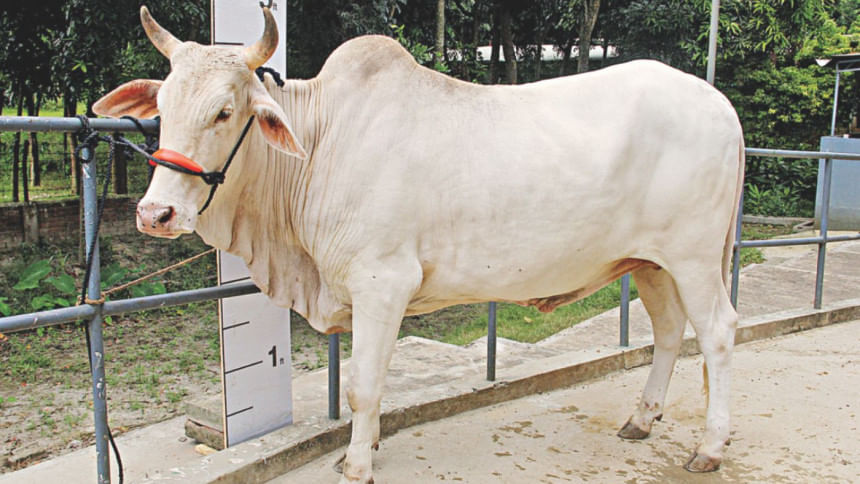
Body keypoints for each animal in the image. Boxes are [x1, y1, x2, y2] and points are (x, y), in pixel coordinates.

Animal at [94, 6, 745, 483]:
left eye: (225, 112)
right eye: (162, 108)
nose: (155, 213)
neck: (321, 144)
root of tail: (719, 104)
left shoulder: (382, 283)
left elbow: (362, 384)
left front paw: (357, 462)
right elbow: (369, 381)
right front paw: (366, 445)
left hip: (693, 258)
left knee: (716, 333)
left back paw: (710, 448)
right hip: (652, 262)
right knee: (669, 331)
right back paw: (641, 419)